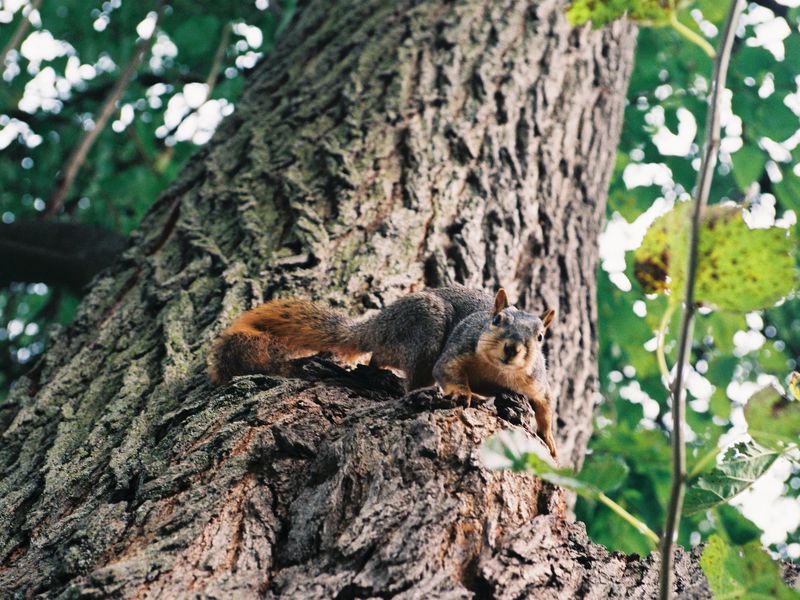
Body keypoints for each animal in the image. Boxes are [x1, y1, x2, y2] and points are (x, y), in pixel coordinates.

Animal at [208, 285, 558, 458]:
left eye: (540, 337)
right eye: (496, 320)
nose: (512, 349)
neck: (497, 371)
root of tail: (376, 324)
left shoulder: (536, 382)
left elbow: (545, 407)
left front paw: (549, 441)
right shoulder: (458, 349)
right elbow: (447, 371)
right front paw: (461, 392)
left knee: (377, 358)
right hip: (425, 329)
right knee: (411, 375)